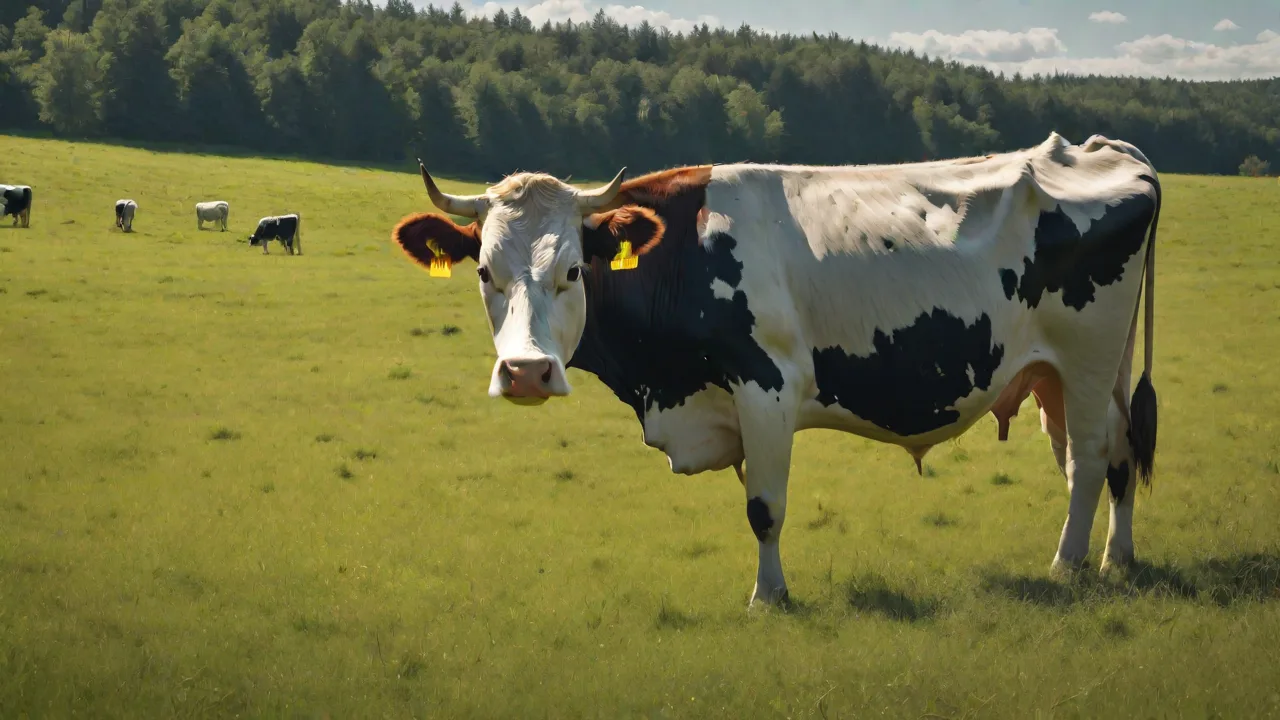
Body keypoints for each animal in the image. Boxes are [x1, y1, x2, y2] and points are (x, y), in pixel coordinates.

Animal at [390, 132, 1162, 609]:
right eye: (484, 272)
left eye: (573, 271)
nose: (526, 372)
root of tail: (1097, 148)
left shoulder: (765, 388)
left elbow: (764, 508)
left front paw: (769, 597)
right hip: (1068, 373)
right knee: (1117, 453)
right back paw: (1116, 559)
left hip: (1087, 359)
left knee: (1089, 457)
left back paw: (1066, 565)